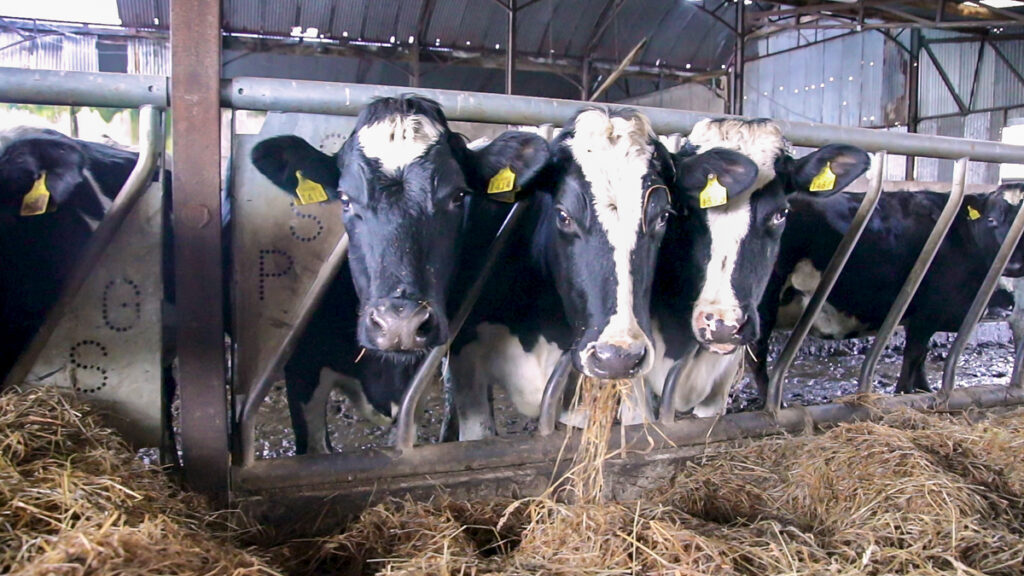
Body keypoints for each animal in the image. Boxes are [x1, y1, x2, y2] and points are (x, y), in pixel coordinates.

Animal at [750, 183, 1024, 399]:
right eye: (991, 220)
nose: (1014, 264)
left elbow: (921, 356)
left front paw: (925, 390)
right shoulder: (927, 311)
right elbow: (913, 354)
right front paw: (905, 393)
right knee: (757, 354)